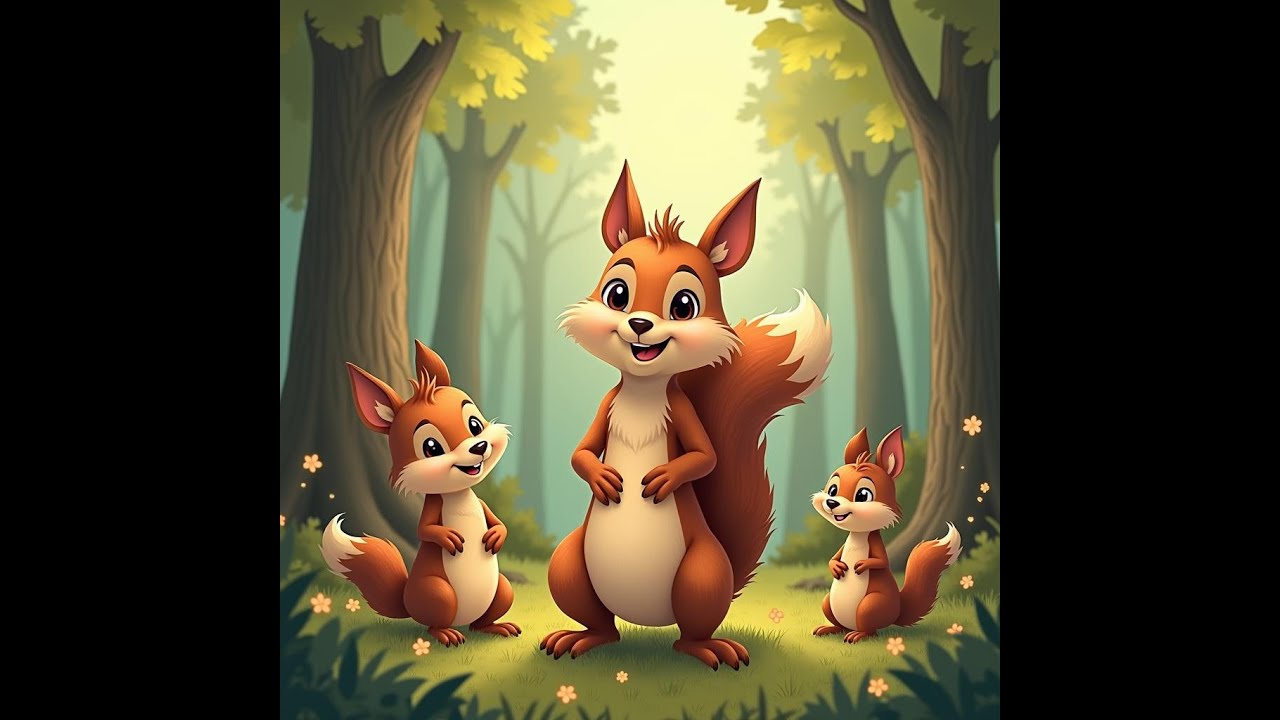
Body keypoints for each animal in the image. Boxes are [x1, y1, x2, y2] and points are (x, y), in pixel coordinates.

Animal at [320, 340, 521, 647]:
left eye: (474, 425)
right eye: (431, 447)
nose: (479, 447)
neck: (459, 494)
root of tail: (406, 600)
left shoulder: (482, 503)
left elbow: (497, 521)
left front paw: (496, 536)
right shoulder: (432, 507)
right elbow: (423, 529)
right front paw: (448, 538)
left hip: (503, 589)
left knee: (481, 621)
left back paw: (496, 627)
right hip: (438, 593)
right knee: (433, 623)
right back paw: (446, 634)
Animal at [540, 161, 833, 670]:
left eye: (684, 305)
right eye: (616, 293)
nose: (639, 324)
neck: (642, 390)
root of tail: (648, 620)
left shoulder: (682, 412)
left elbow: (704, 457)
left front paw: (664, 478)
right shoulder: (606, 403)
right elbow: (580, 452)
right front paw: (602, 478)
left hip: (702, 574)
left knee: (691, 631)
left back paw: (707, 648)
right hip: (569, 567)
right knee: (602, 625)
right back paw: (580, 638)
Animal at [811, 426, 961, 643]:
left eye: (863, 495)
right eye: (832, 489)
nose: (831, 503)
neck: (858, 534)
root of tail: (897, 611)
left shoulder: (876, 543)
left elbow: (881, 561)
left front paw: (862, 565)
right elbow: (835, 556)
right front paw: (836, 567)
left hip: (870, 606)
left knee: (871, 630)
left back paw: (857, 635)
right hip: (827, 601)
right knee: (839, 624)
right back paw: (829, 628)